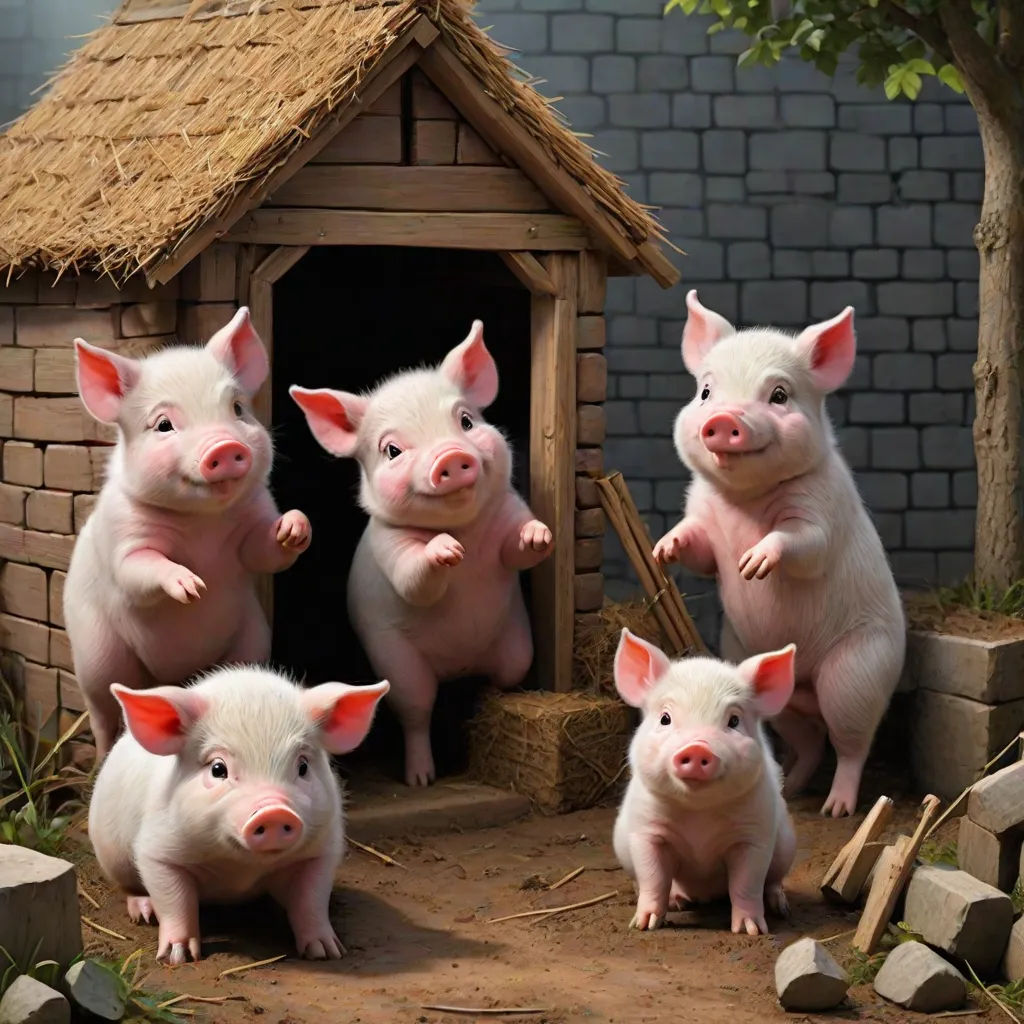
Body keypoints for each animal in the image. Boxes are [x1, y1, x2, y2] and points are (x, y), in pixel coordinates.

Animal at [64, 308, 312, 761]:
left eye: (237, 408)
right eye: (164, 424)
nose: (226, 447)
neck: (202, 524)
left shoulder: (251, 523)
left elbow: (265, 552)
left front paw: (294, 526)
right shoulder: (123, 539)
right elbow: (140, 568)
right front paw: (191, 586)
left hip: (251, 639)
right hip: (97, 657)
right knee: (104, 715)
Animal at [88, 665, 389, 964]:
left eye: (303, 766)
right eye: (218, 769)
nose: (273, 811)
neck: (239, 870)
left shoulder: (321, 850)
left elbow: (311, 901)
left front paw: (326, 952)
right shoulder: (158, 851)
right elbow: (175, 902)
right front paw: (177, 957)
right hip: (111, 854)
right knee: (130, 887)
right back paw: (144, 912)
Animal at [289, 320, 553, 787]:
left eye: (466, 420)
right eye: (393, 450)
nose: (451, 455)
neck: (464, 525)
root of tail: (457, 665)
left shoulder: (509, 509)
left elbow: (516, 551)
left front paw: (539, 535)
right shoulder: (388, 546)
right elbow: (414, 580)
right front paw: (446, 549)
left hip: (515, 645)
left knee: (504, 674)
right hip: (398, 664)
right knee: (416, 713)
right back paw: (421, 778)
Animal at [613, 629, 796, 935]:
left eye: (734, 720)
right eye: (665, 718)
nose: (697, 748)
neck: (699, 819)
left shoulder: (754, 836)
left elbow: (747, 884)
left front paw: (751, 930)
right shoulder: (646, 832)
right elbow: (653, 879)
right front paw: (644, 924)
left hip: (784, 846)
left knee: (772, 881)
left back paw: (780, 907)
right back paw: (678, 901)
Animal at [653, 290, 905, 818]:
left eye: (780, 395)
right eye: (705, 392)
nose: (722, 420)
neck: (743, 501)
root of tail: (804, 681)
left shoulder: (820, 509)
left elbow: (803, 543)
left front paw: (753, 564)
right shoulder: (700, 512)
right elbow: (698, 548)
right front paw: (664, 548)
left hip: (855, 674)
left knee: (851, 746)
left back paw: (836, 808)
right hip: (764, 684)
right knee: (809, 743)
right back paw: (790, 790)